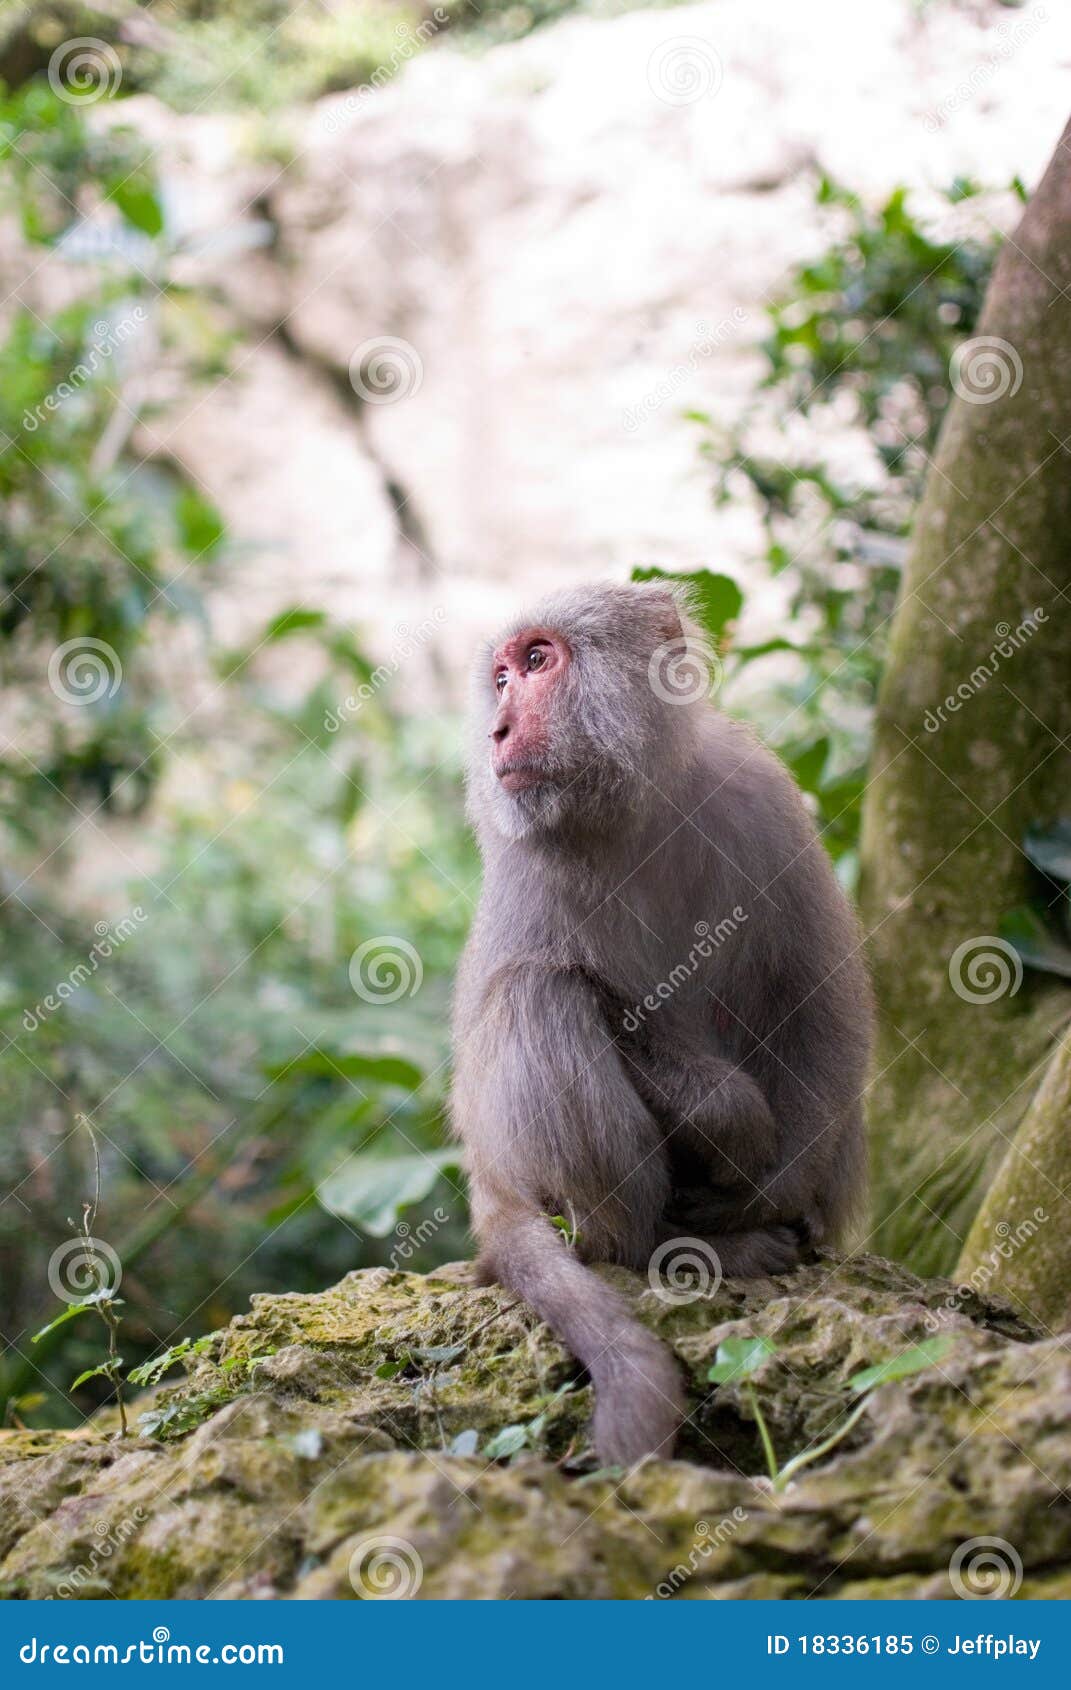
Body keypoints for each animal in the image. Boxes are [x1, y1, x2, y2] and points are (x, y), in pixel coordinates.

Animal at [451, 581, 872, 1466]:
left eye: (535, 661)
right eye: (499, 679)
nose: (498, 727)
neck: (632, 807)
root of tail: (486, 1186)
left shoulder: (763, 796)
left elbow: (813, 997)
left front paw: (774, 1187)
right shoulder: (524, 861)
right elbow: (556, 991)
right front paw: (731, 1123)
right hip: (529, 1177)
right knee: (540, 996)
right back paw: (657, 1246)